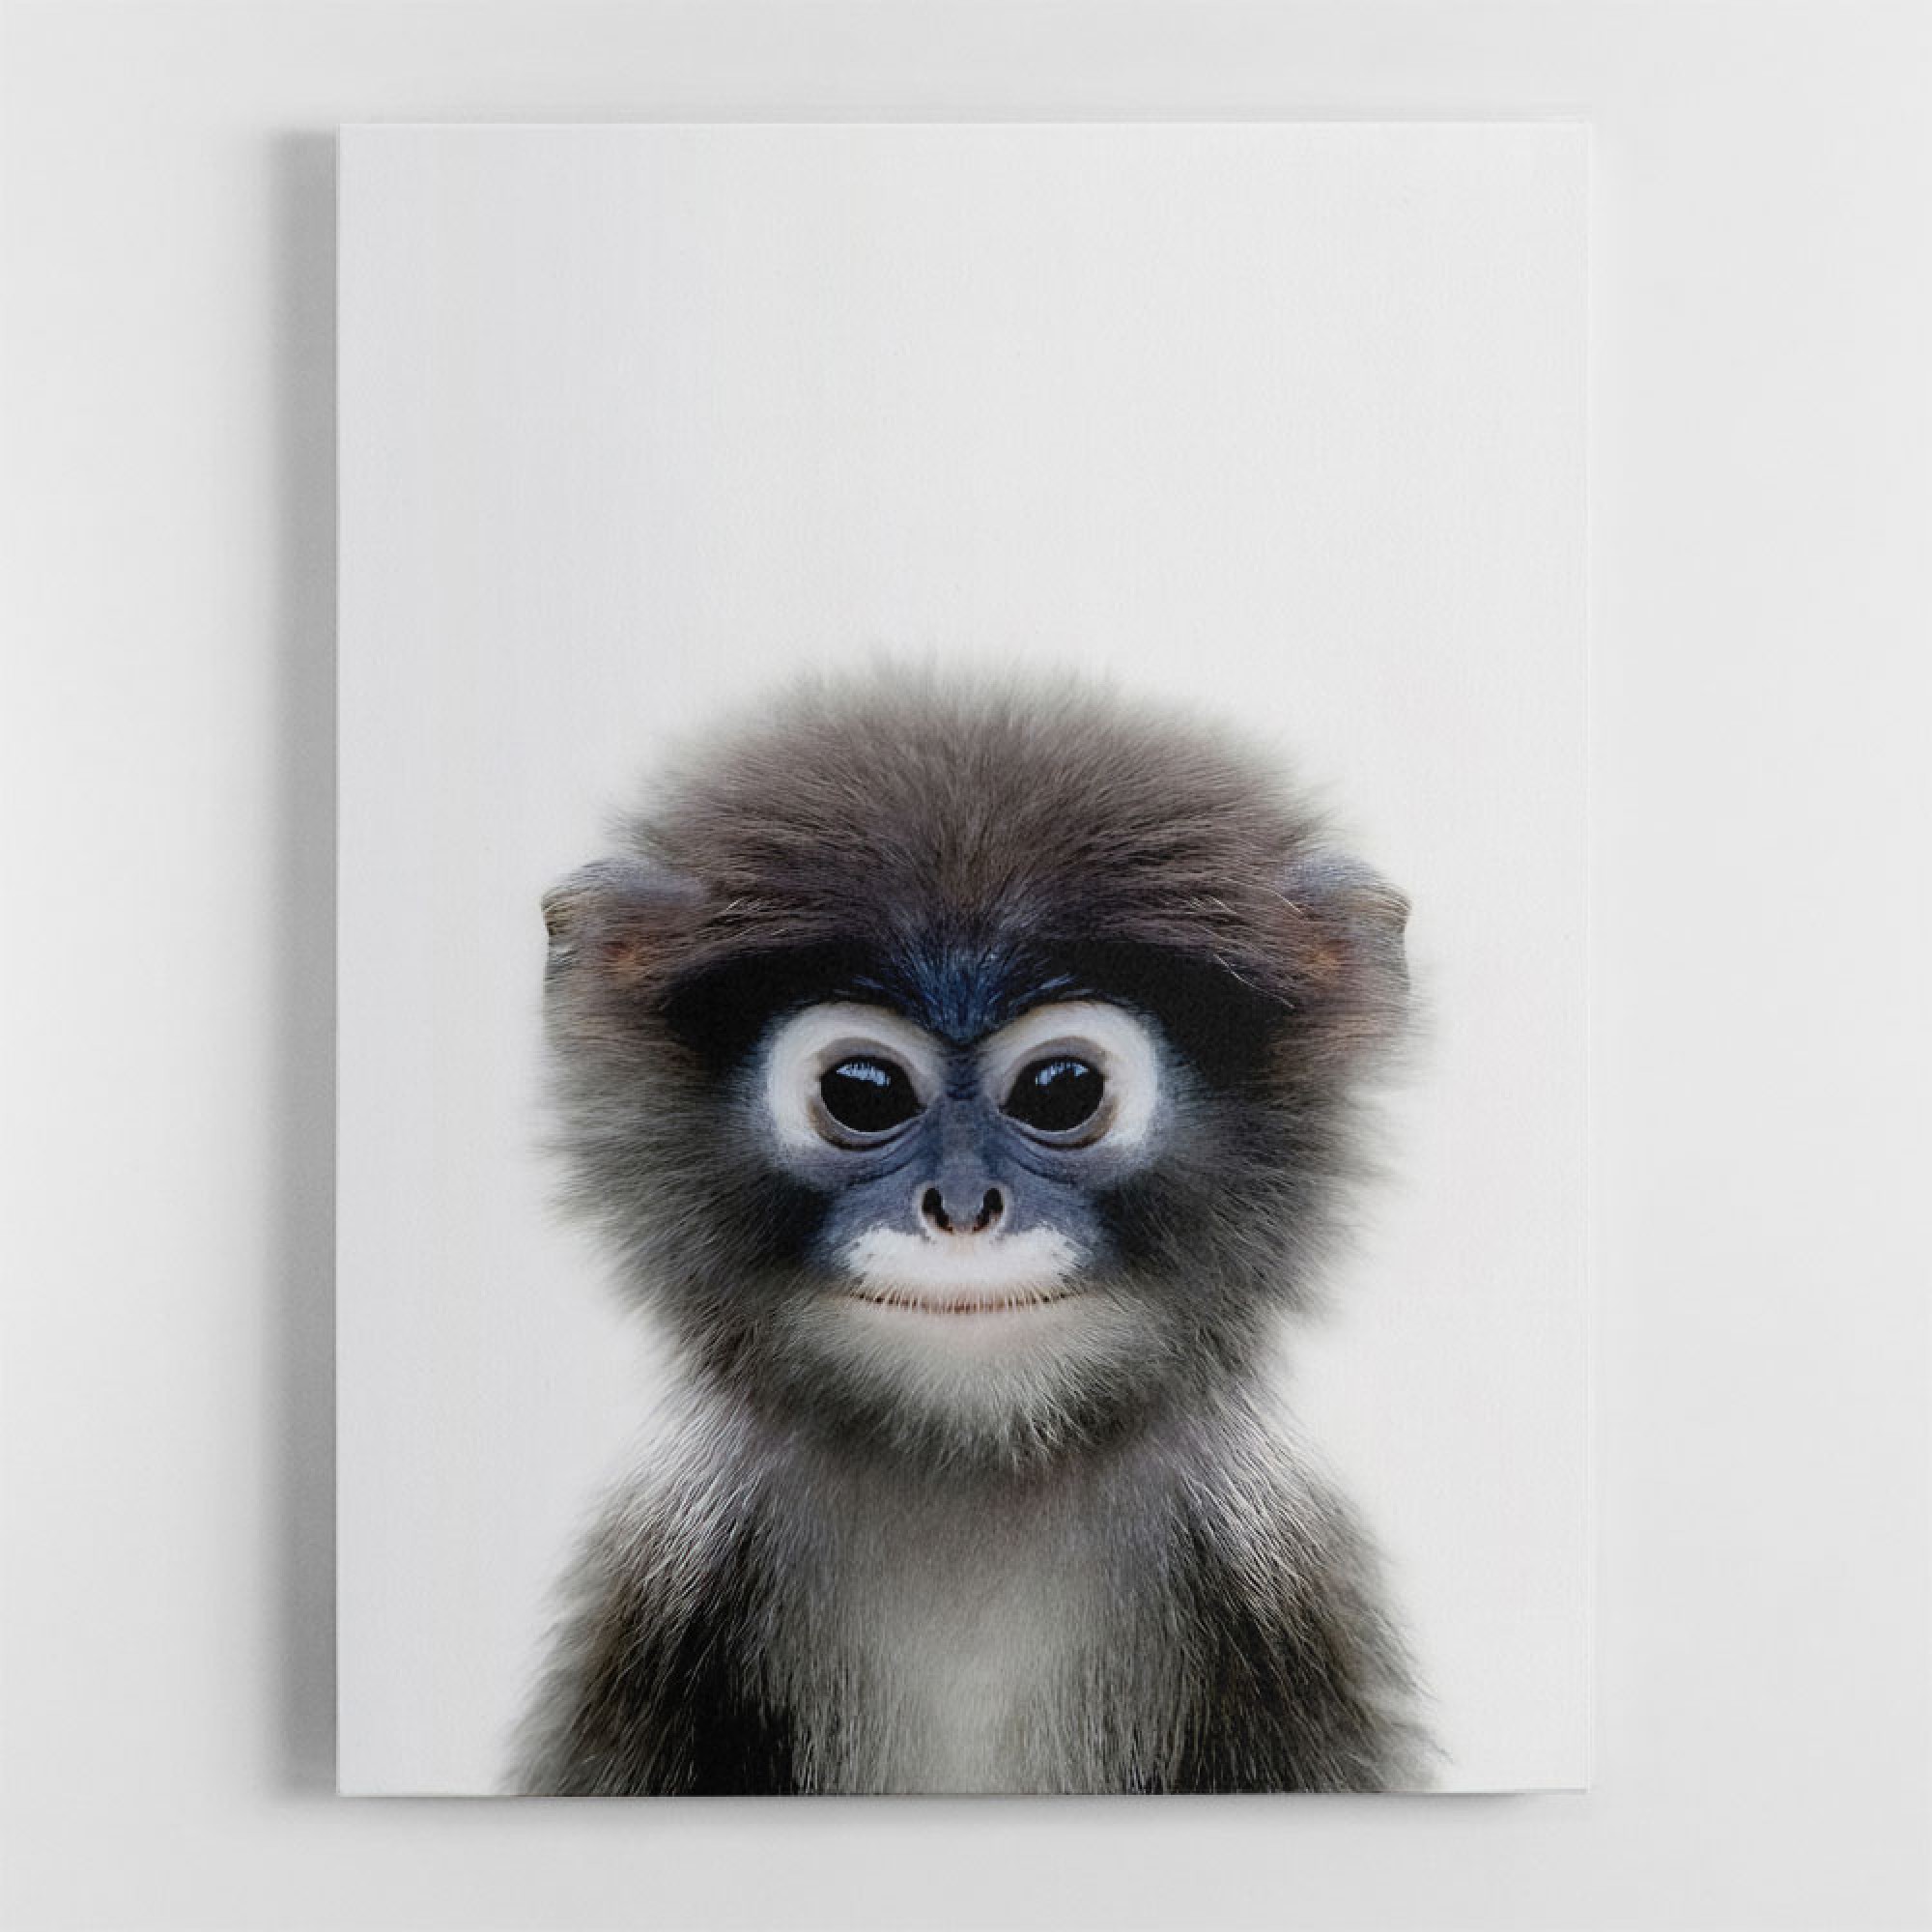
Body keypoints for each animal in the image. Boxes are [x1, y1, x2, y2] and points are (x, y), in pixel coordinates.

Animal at [513, 671, 1432, 1795]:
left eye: (1060, 1087)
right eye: (860, 1090)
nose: (959, 1208)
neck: (971, 1480)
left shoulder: (1284, 1582)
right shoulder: (659, 1582)